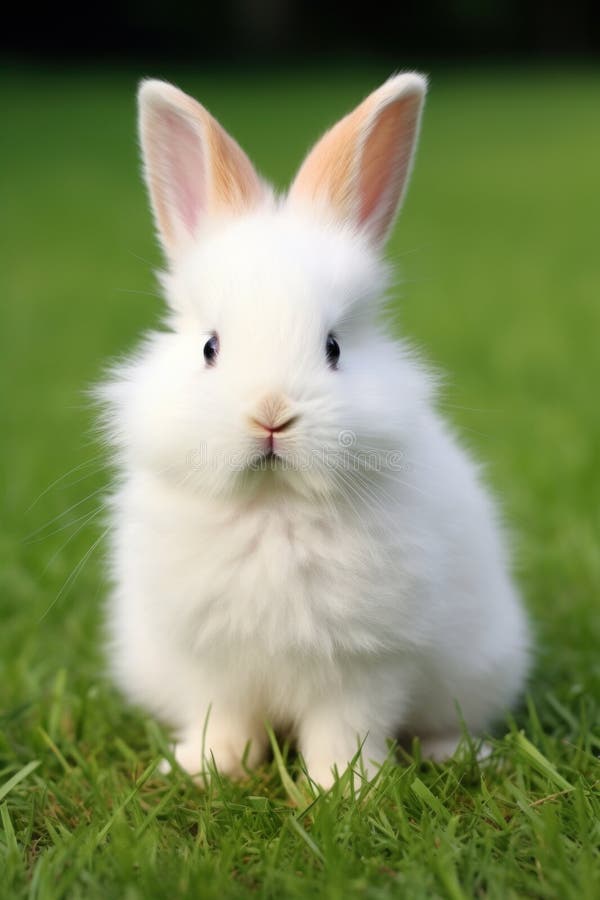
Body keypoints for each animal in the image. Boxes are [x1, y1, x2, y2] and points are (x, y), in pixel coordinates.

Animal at [99, 73, 530, 789]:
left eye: (333, 347)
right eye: (210, 347)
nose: (271, 413)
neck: (274, 503)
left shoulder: (366, 665)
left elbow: (343, 731)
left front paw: (345, 791)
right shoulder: (211, 663)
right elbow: (226, 722)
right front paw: (207, 771)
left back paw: (458, 754)